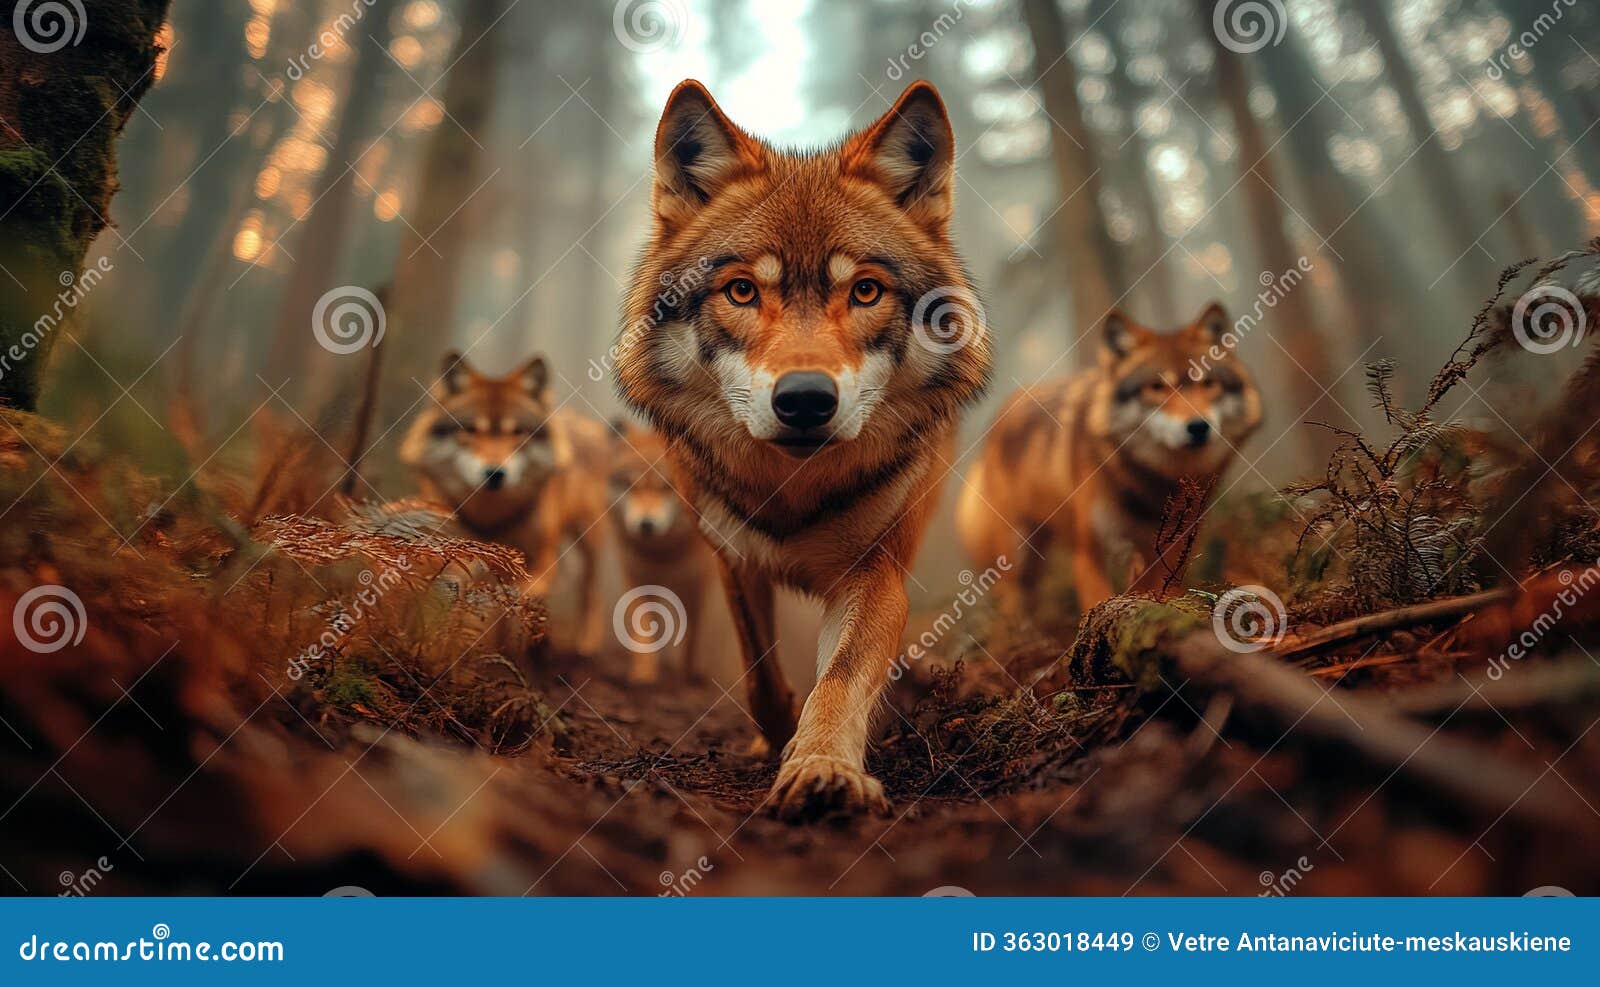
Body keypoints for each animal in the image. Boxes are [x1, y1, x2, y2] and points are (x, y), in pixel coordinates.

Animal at [400, 352, 609, 655]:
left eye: (517, 432)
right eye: (471, 430)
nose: (495, 473)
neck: (491, 519)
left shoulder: (537, 564)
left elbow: (516, 603)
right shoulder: (457, 558)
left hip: (589, 539)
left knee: (591, 590)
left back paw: (585, 643)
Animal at [614, 78, 991, 816]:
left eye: (865, 290)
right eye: (741, 290)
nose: (807, 400)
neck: (794, 486)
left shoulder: (877, 573)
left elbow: (841, 677)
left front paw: (823, 768)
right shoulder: (730, 557)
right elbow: (759, 673)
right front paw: (778, 734)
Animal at [957, 304, 1262, 611]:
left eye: (1209, 383)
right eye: (1156, 387)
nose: (1198, 427)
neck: (1153, 481)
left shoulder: (1175, 547)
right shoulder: (1091, 549)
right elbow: (1096, 598)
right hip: (1015, 555)